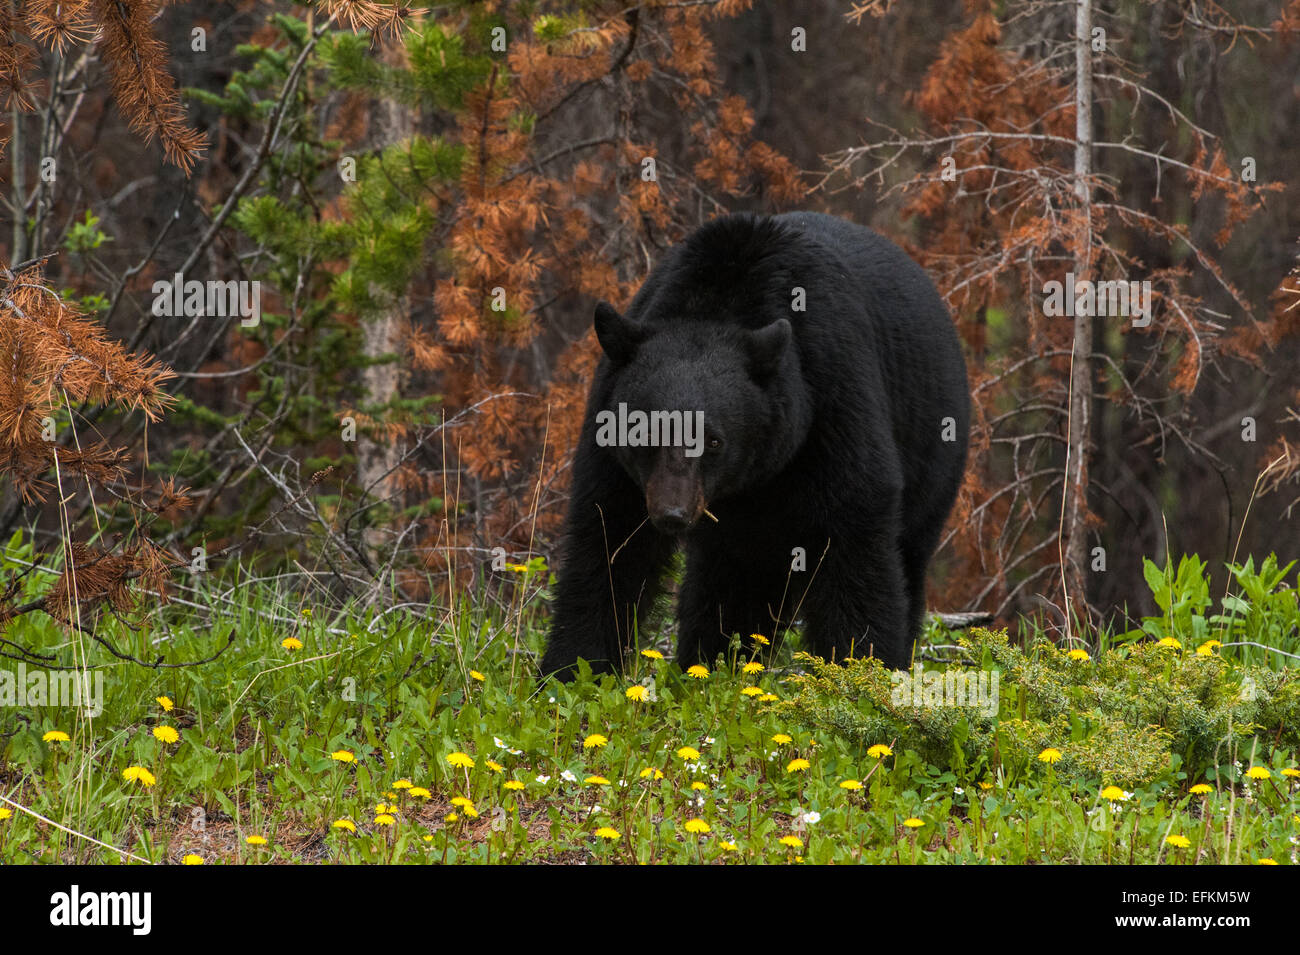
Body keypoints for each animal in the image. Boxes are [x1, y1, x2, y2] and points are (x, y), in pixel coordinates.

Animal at [539, 211, 970, 680]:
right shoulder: (612, 444)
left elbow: (854, 535)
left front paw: (860, 667)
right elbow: (608, 542)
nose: (672, 513)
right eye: (644, 432)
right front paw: (571, 669)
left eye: (713, 439)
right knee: (730, 581)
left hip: (932, 450)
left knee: (908, 556)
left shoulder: (830, 395)